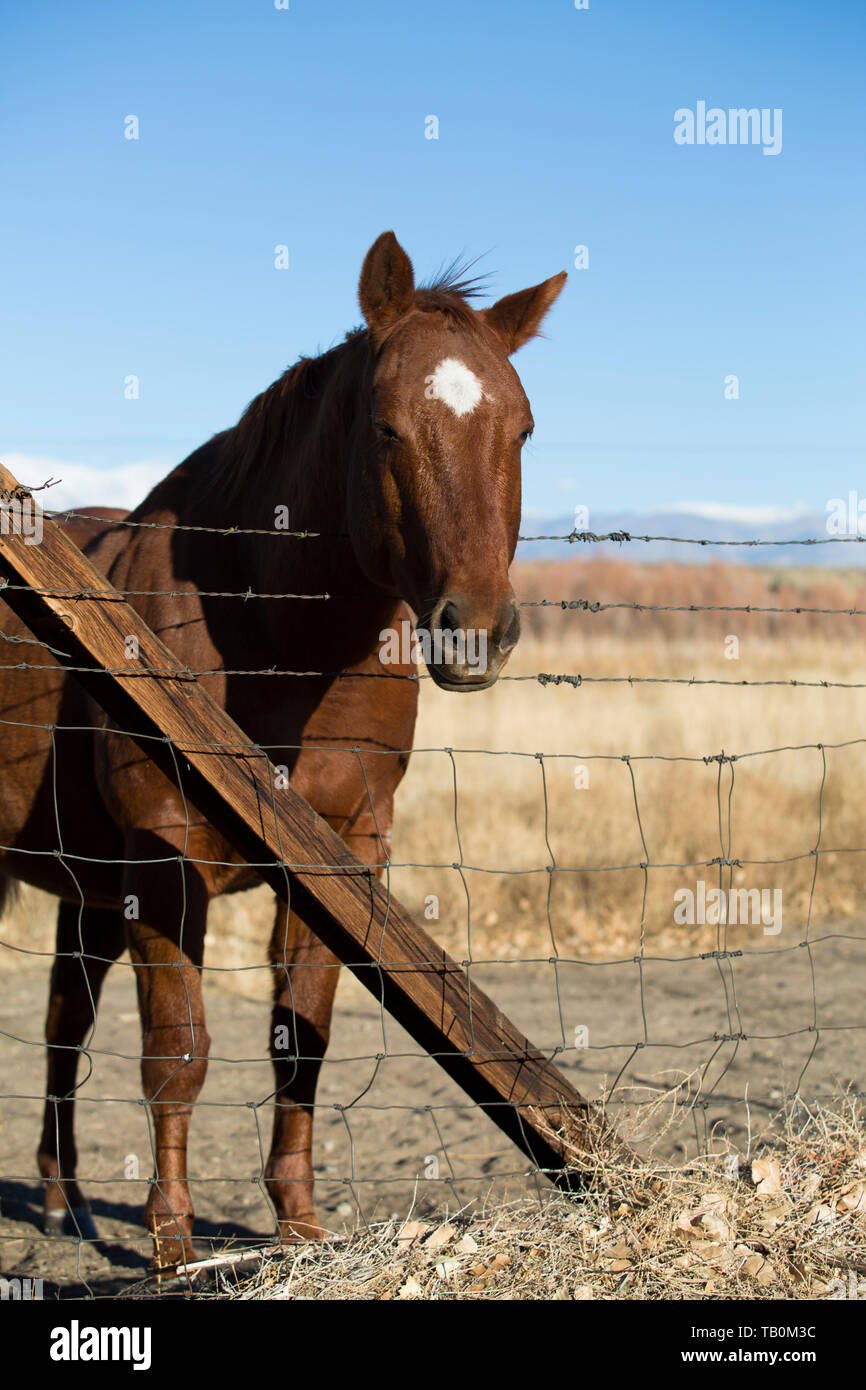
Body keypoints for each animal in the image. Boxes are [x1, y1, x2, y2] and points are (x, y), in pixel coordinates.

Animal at [0, 232, 566, 1268]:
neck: (269, 629)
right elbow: (178, 1053)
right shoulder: (166, 859)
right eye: (385, 428)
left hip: (86, 888)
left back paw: (63, 1203)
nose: (475, 631)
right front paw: (173, 1244)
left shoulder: (344, 859)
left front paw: (298, 1226)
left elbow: (299, 1041)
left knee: (65, 1022)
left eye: (523, 428)